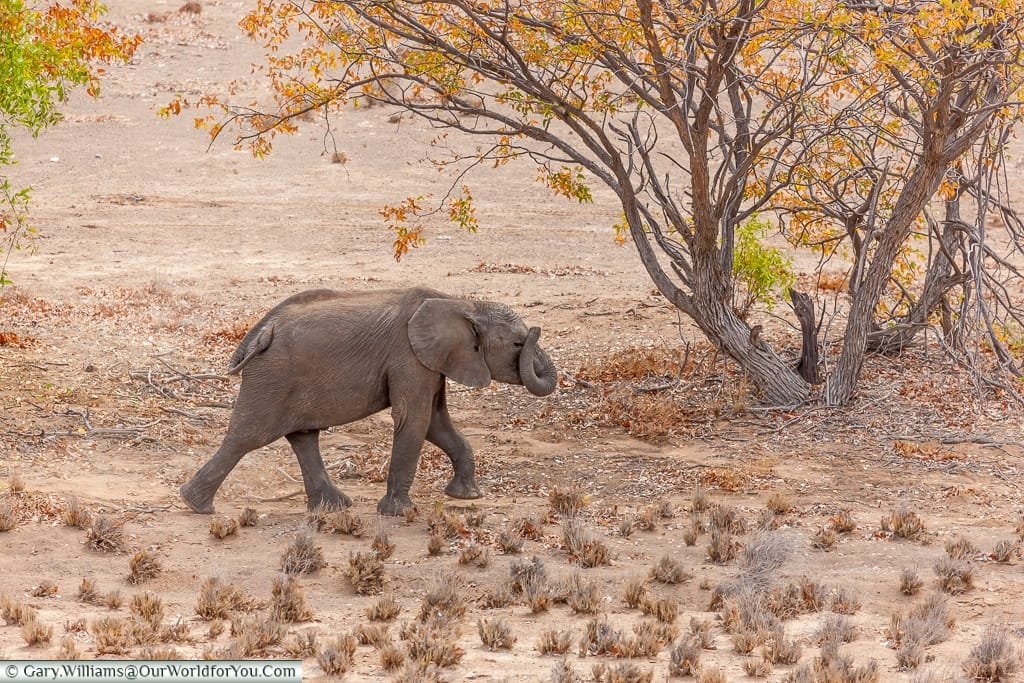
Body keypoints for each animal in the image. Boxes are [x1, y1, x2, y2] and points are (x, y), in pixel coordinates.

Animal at [179, 287, 558, 516]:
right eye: (517, 343)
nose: (535, 329)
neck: (461, 302)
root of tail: (259, 332)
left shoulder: (429, 362)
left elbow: (435, 422)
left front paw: (465, 497)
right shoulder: (409, 357)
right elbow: (415, 419)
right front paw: (401, 513)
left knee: (303, 436)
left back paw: (333, 507)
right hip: (272, 376)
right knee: (248, 436)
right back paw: (197, 506)